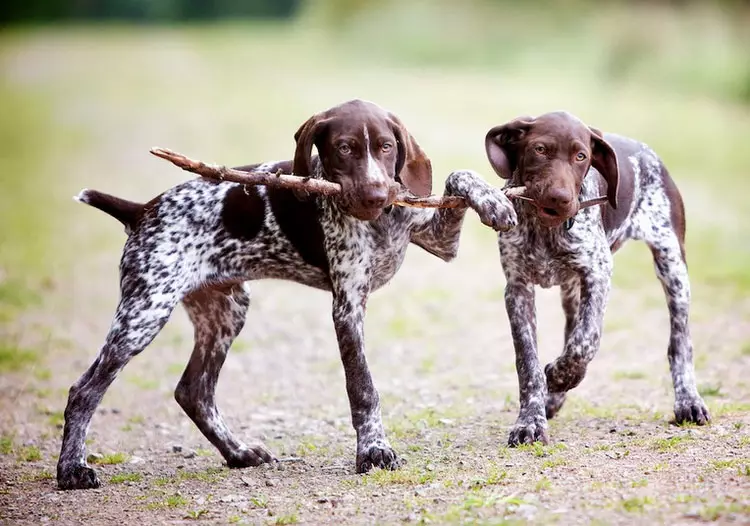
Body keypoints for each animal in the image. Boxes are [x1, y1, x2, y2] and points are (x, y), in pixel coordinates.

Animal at [57, 98, 524, 490]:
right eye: (344, 148)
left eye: (387, 147)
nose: (375, 194)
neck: (379, 221)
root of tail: (141, 210)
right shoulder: (347, 306)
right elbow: (363, 387)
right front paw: (373, 451)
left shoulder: (440, 239)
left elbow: (457, 176)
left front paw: (493, 201)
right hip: (145, 311)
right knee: (84, 391)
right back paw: (72, 470)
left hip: (226, 311)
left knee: (194, 391)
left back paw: (238, 453)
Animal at [484, 111, 712, 446]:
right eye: (540, 149)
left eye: (581, 157)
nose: (560, 199)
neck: (545, 229)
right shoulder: (517, 288)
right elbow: (528, 362)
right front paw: (531, 419)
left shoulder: (598, 273)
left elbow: (586, 341)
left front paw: (559, 375)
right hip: (572, 289)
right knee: (570, 329)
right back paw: (555, 396)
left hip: (672, 266)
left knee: (680, 342)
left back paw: (689, 401)